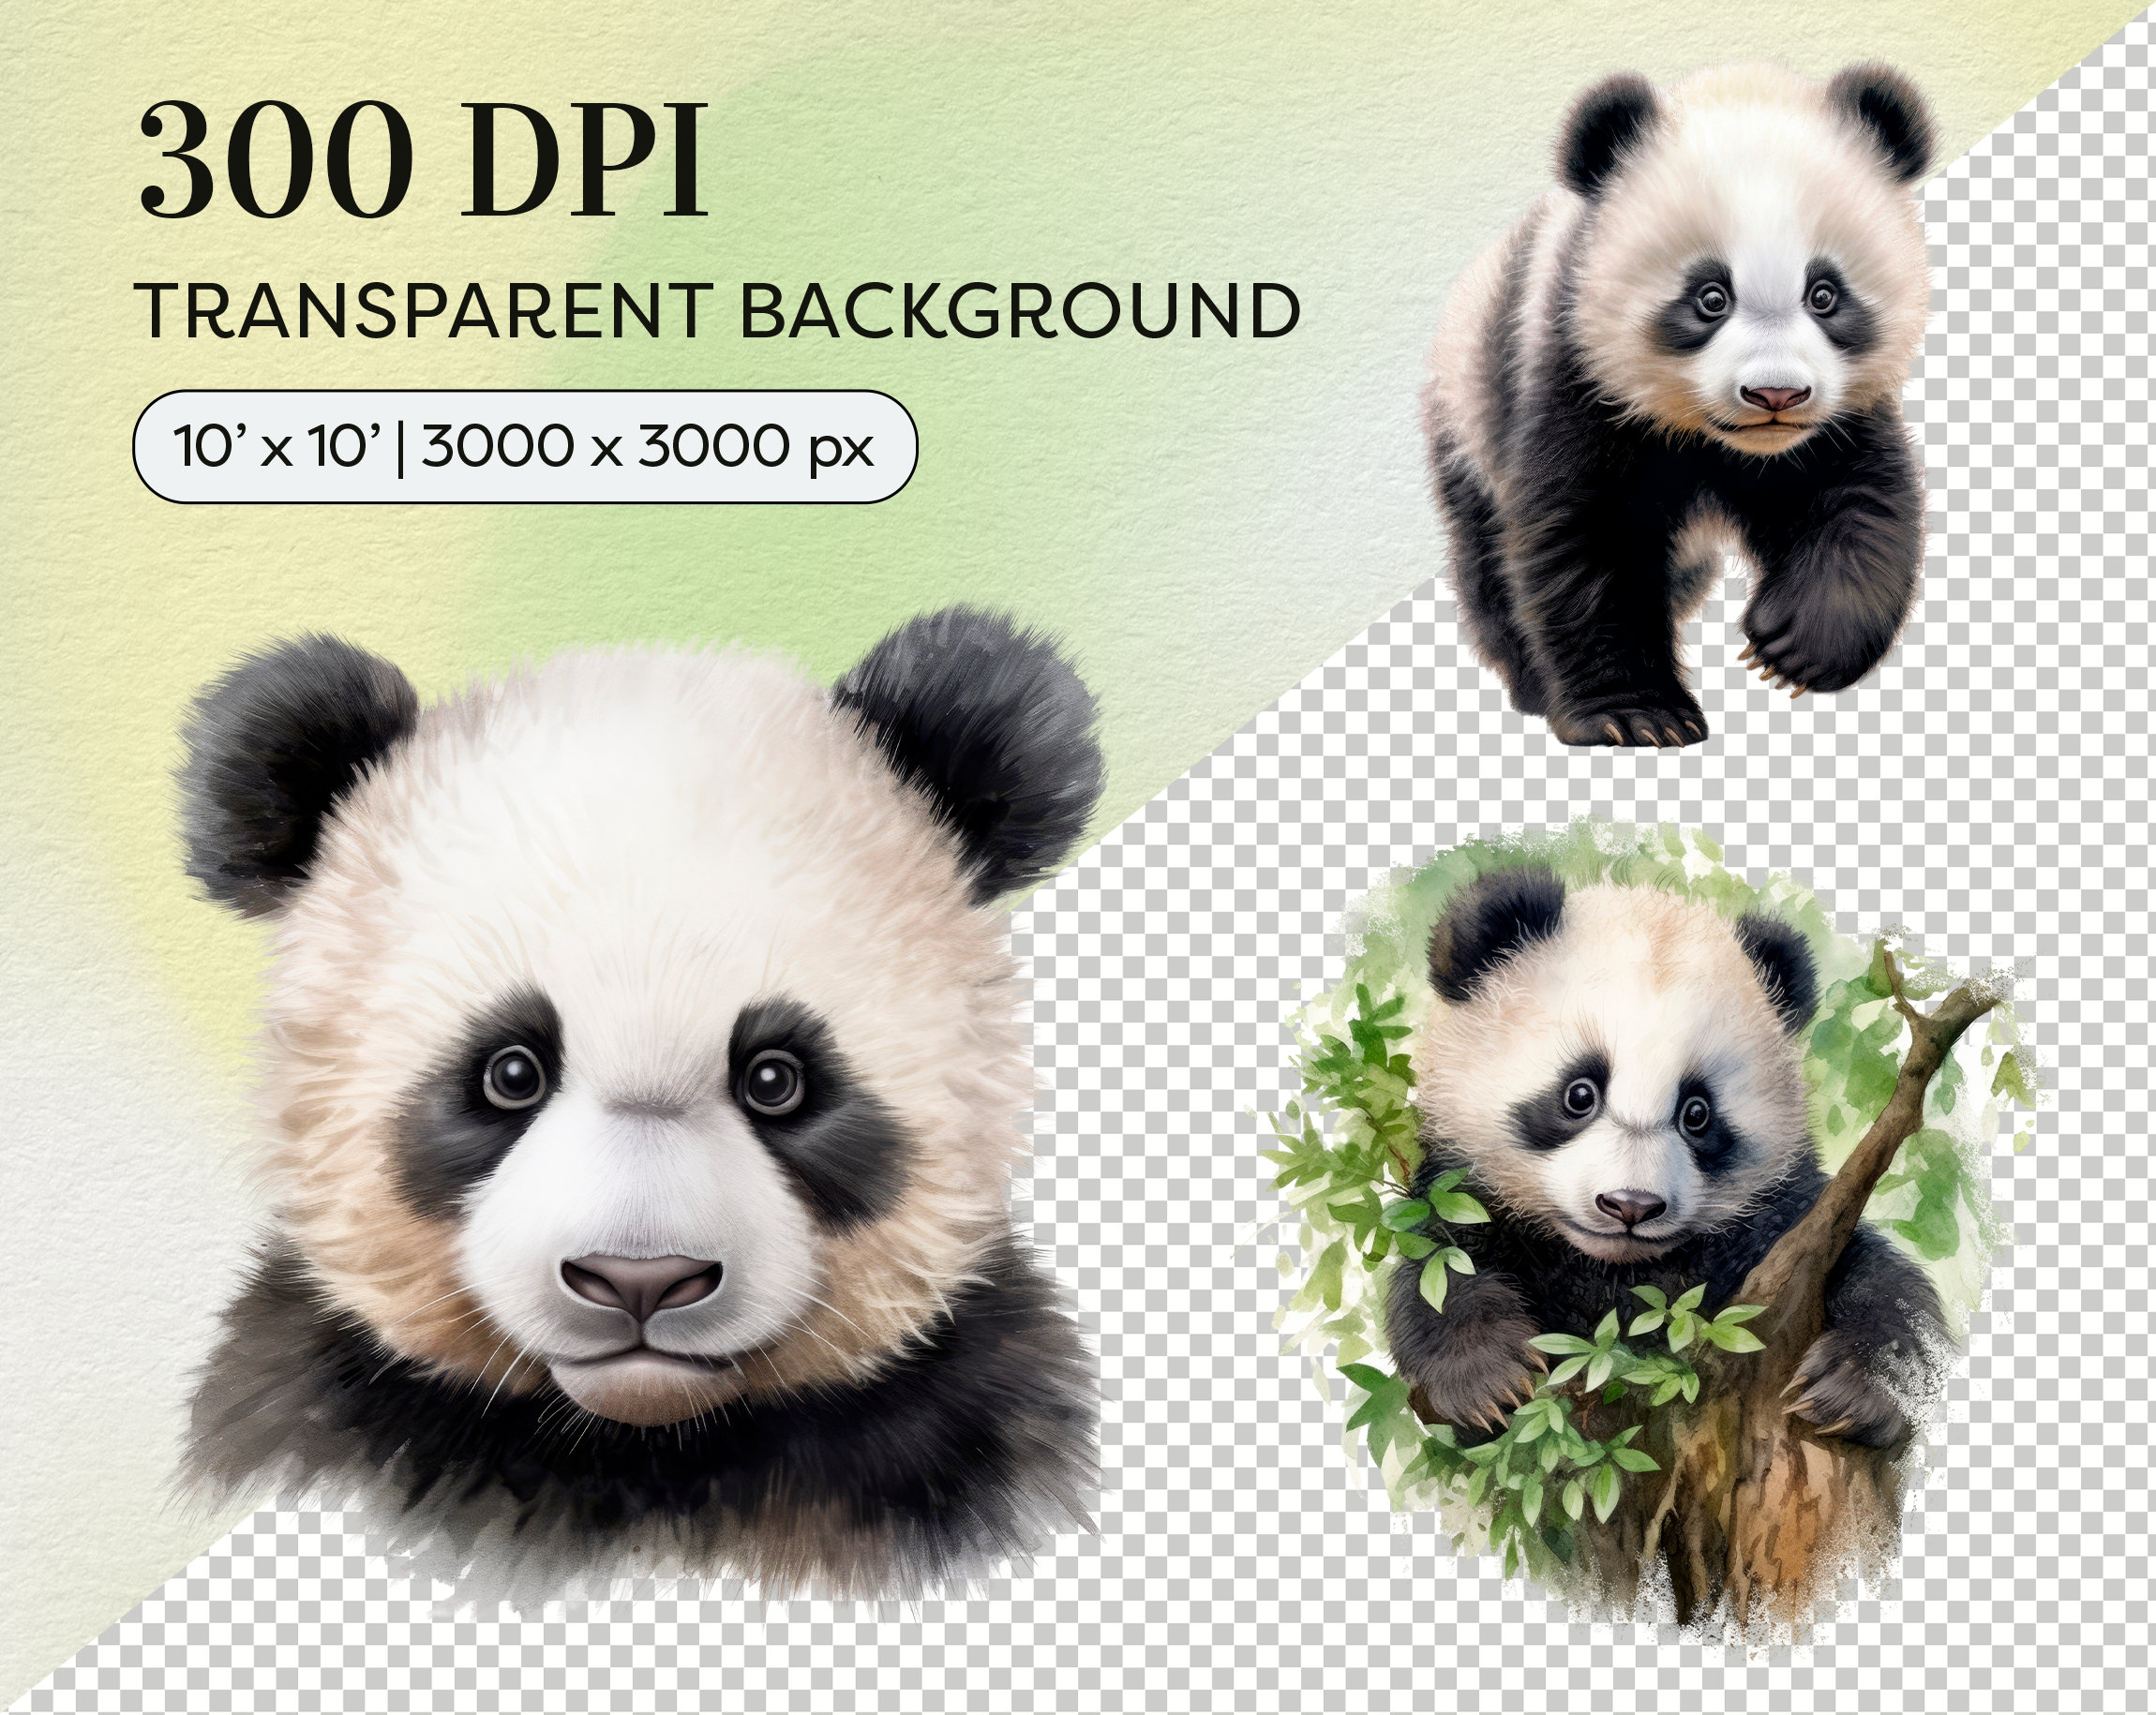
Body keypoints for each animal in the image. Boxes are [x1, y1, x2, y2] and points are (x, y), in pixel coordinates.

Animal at [174, 606, 1104, 1600]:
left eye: (776, 1078)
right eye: (510, 1072)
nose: (640, 1280)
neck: (640, 1447)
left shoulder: (958, 1426)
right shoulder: (330, 1400)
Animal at [1385, 867, 1948, 1447]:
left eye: (1696, 1113)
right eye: (1579, 1094)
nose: (1630, 1205)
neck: (1615, 1269)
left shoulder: (1783, 1229)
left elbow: (1880, 1277)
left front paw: (1856, 1388)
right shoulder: (1466, 1198)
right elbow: (1440, 1269)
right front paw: (1490, 1379)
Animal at [1424, 61, 1936, 746]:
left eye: (1825, 294)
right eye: (1710, 297)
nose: (1775, 394)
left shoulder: (1836, 418)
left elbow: (1863, 503)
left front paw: (1792, 645)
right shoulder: (1571, 367)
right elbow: (1584, 539)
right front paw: (1635, 716)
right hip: (1467, 414)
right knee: (1487, 564)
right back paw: (1531, 685)